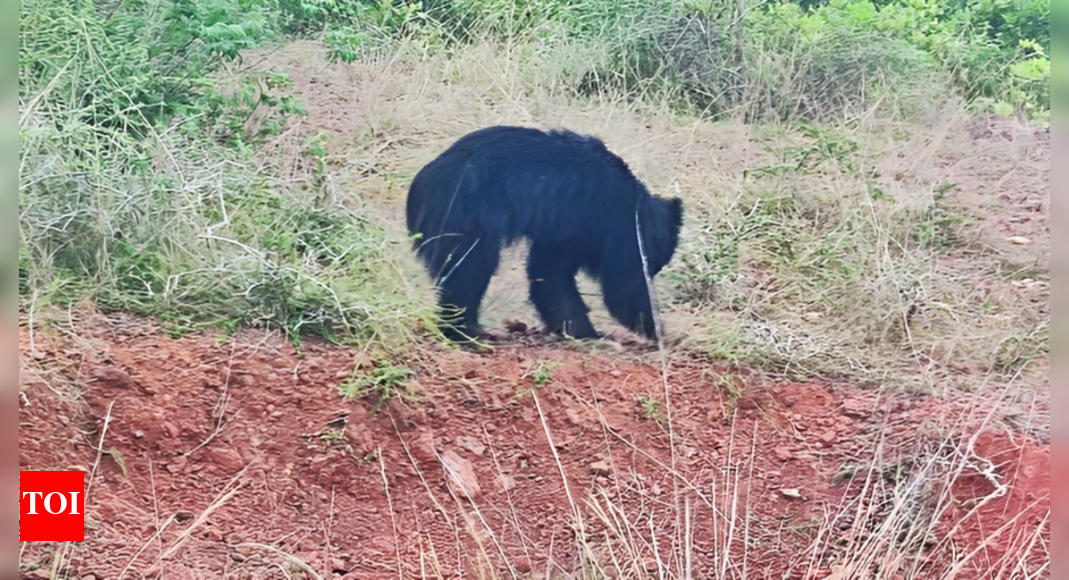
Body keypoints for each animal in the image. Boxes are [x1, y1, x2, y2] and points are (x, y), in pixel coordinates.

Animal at [405, 125, 683, 342]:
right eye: (657, 262)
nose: (654, 271)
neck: (638, 208)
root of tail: (421, 182)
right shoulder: (607, 223)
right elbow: (625, 285)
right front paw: (658, 331)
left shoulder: (561, 229)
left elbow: (550, 276)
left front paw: (581, 331)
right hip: (465, 212)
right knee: (468, 269)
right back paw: (466, 330)